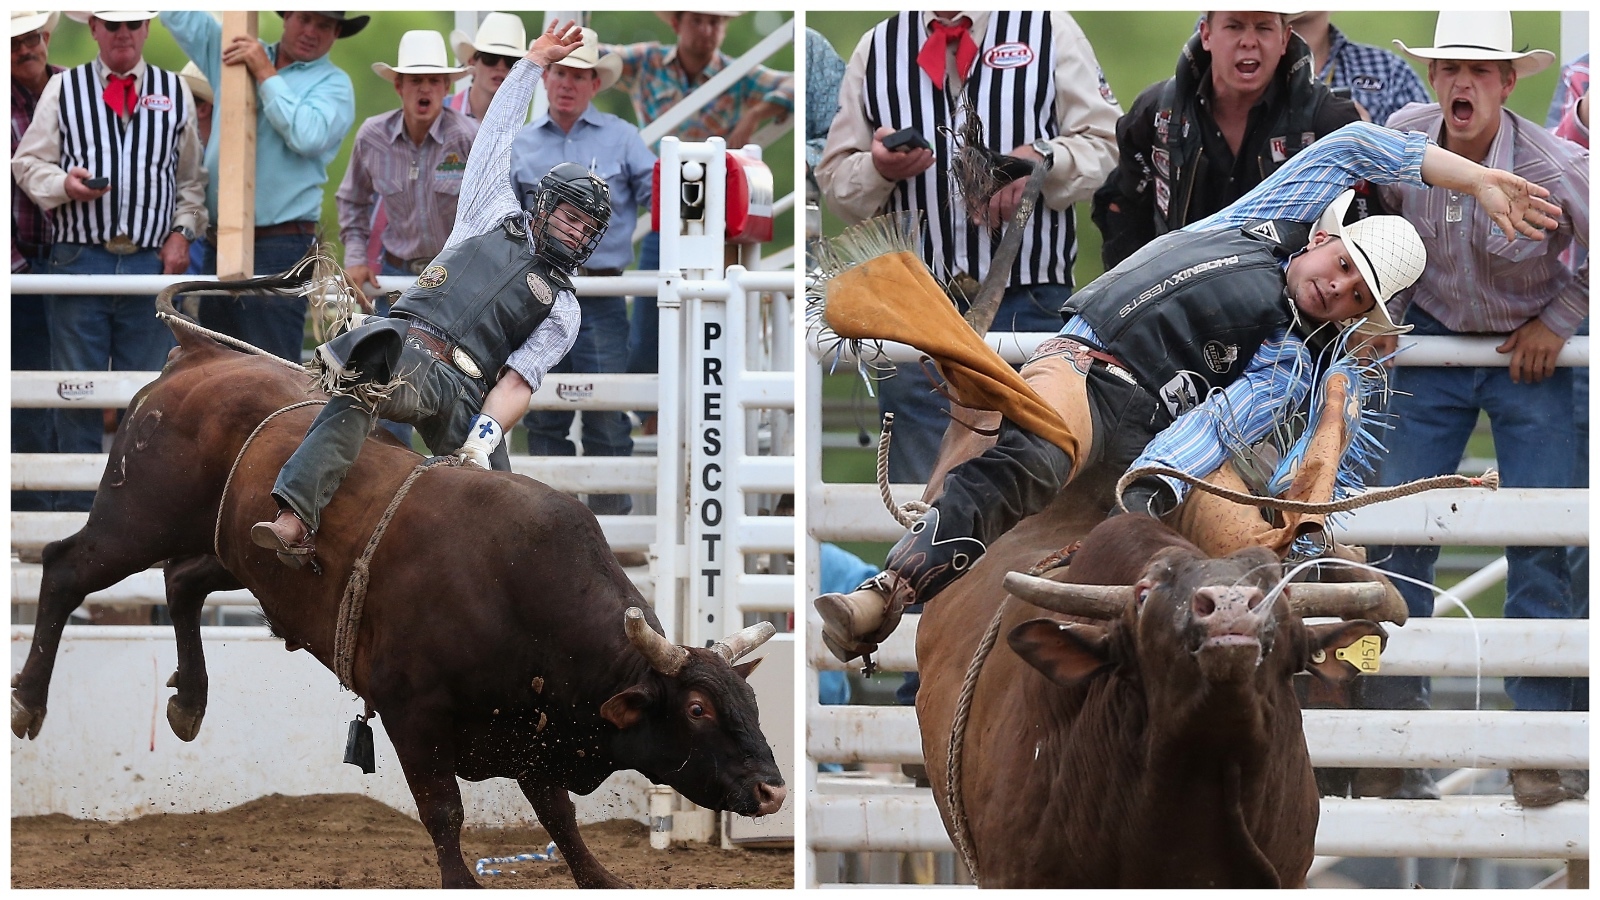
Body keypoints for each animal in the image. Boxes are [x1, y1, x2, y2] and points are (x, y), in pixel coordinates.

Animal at [10, 285, 787, 888]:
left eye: (750, 700)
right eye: (696, 709)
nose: (773, 788)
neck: (523, 598)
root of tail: (201, 354)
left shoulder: (534, 730)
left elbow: (559, 815)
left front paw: (600, 875)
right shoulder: (412, 713)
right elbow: (444, 811)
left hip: (230, 550)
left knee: (182, 584)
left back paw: (190, 701)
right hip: (139, 516)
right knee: (65, 568)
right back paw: (28, 702)